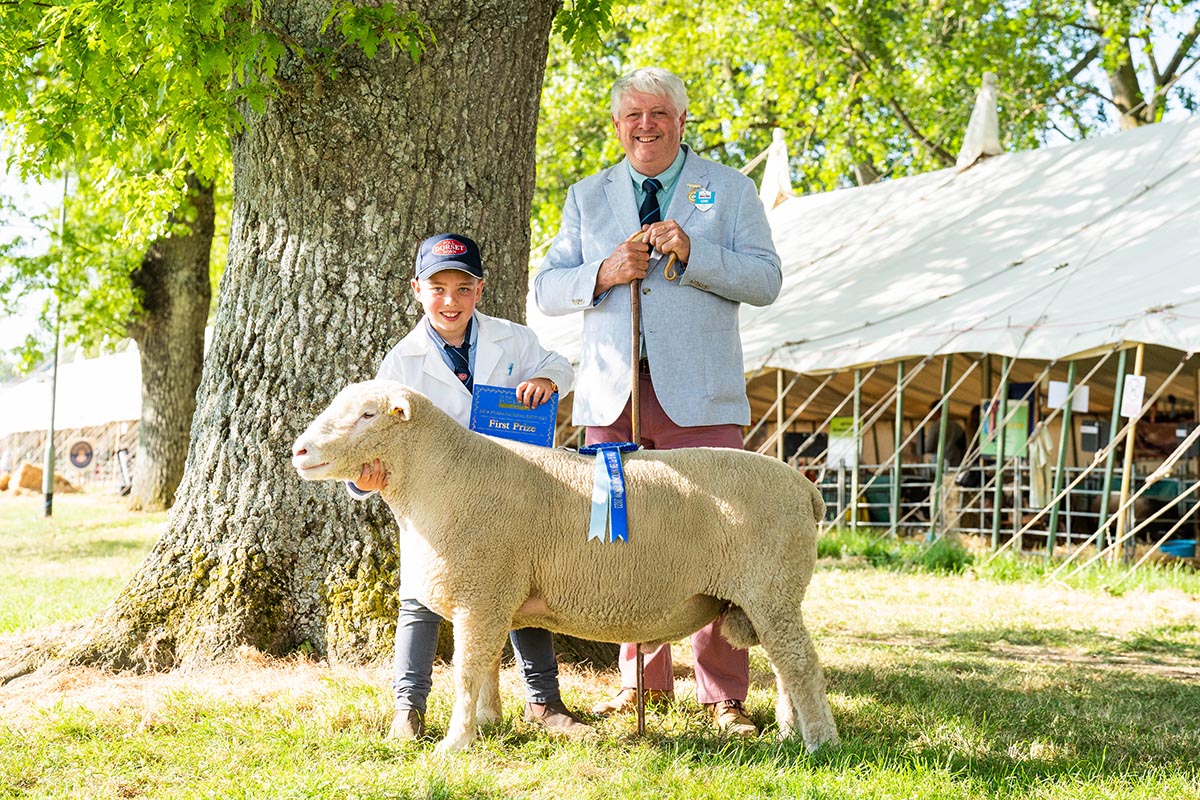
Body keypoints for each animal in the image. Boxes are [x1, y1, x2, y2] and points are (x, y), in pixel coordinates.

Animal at [292, 380, 838, 753]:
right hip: (768, 595)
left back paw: (820, 743)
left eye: (367, 414)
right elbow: (487, 668)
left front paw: (456, 743)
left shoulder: (480, 591)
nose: (299, 450)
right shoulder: (491, 596)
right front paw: (488, 724)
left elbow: (466, 672)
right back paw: (789, 733)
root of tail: (805, 487)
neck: (441, 477)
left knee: (802, 666)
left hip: (771, 586)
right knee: (785, 666)